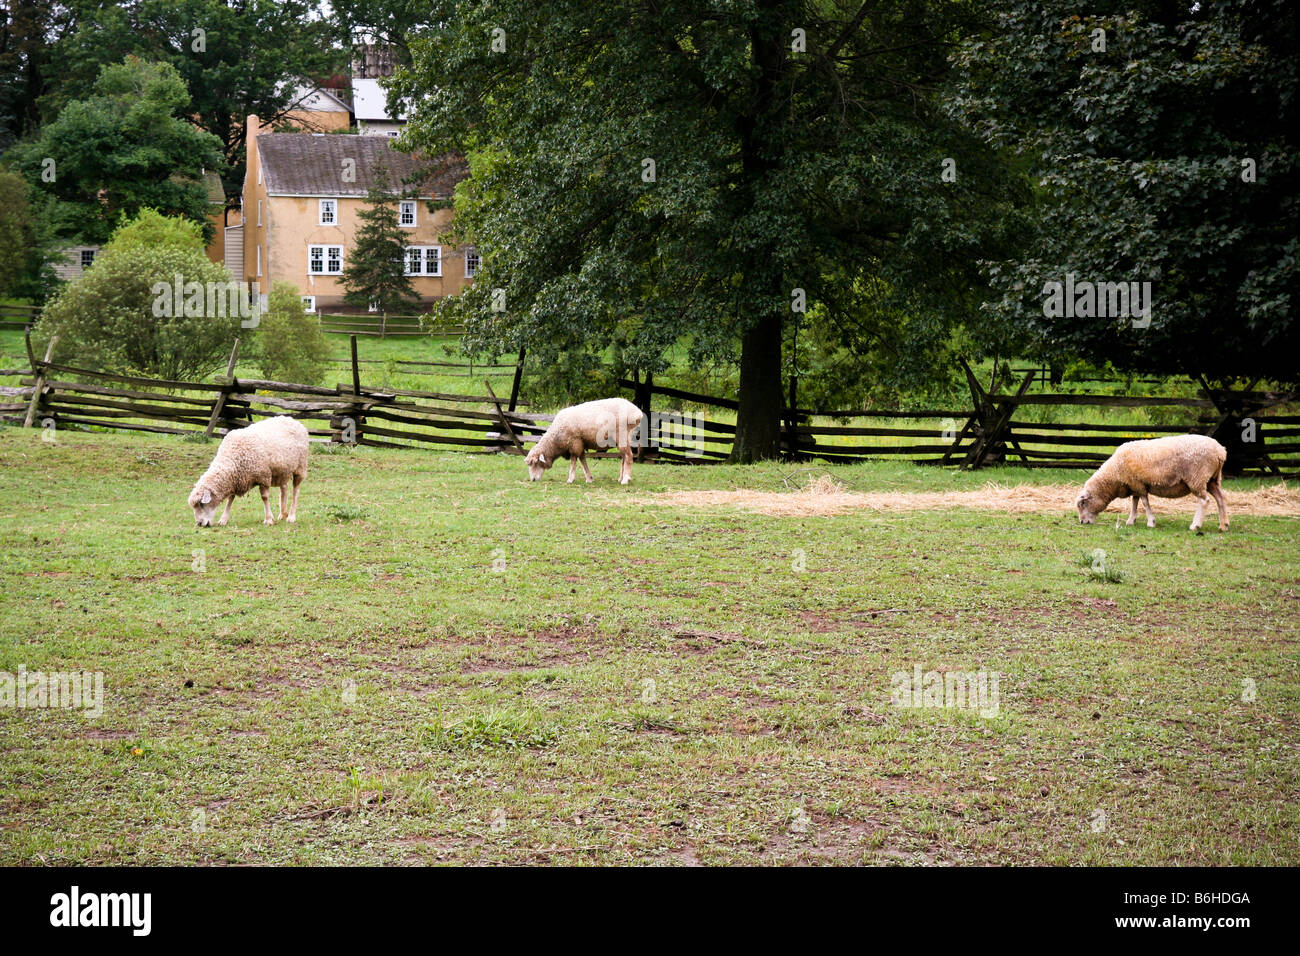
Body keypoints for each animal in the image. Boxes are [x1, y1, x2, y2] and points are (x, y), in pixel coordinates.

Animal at [1075, 434, 1228, 533]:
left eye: (1083, 504)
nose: (1082, 522)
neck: (1114, 473)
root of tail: (1220, 451)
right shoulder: (1134, 484)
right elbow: (1135, 502)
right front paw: (1131, 521)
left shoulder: (1138, 484)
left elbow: (1144, 503)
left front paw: (1151, 522)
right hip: (1212, 480)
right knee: (1221, 498)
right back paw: (1223, 526)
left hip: (1197, 478)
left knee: (1204, 501)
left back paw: (1195, 525)